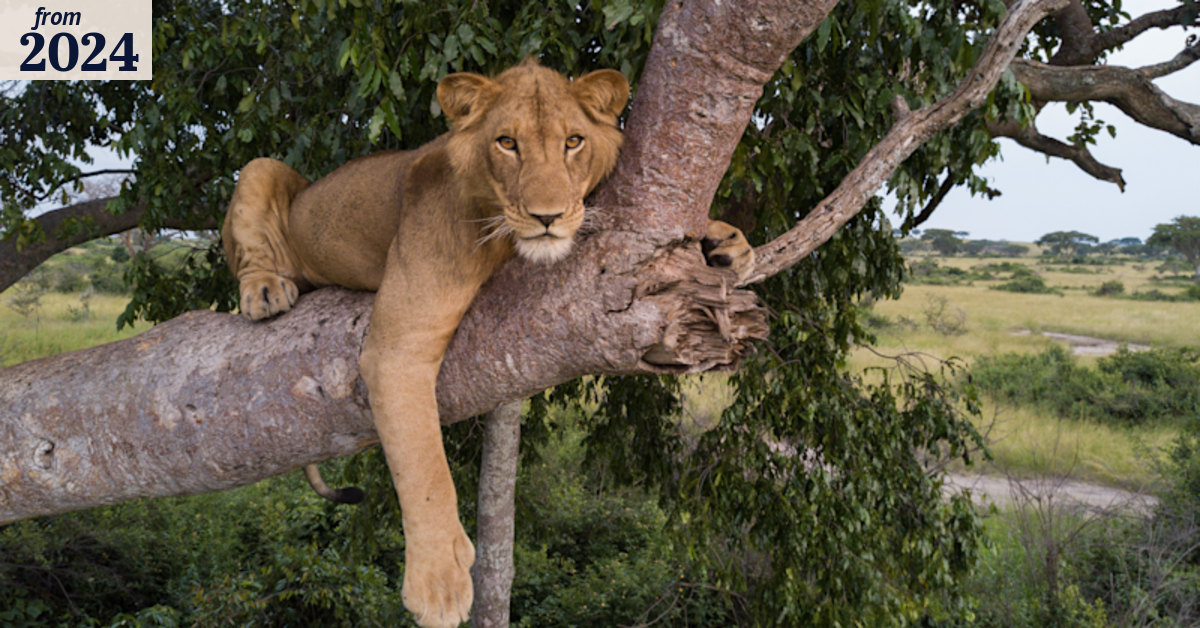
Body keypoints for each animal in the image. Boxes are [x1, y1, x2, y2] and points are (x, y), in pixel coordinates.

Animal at [221, 60, 754, 628]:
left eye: (573, 141)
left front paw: (725, 241)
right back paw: (265, 290)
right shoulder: (397, 348)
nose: (547, 217)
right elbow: (423, 464)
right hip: (261, 169)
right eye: (506, 143)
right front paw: (438, 581)